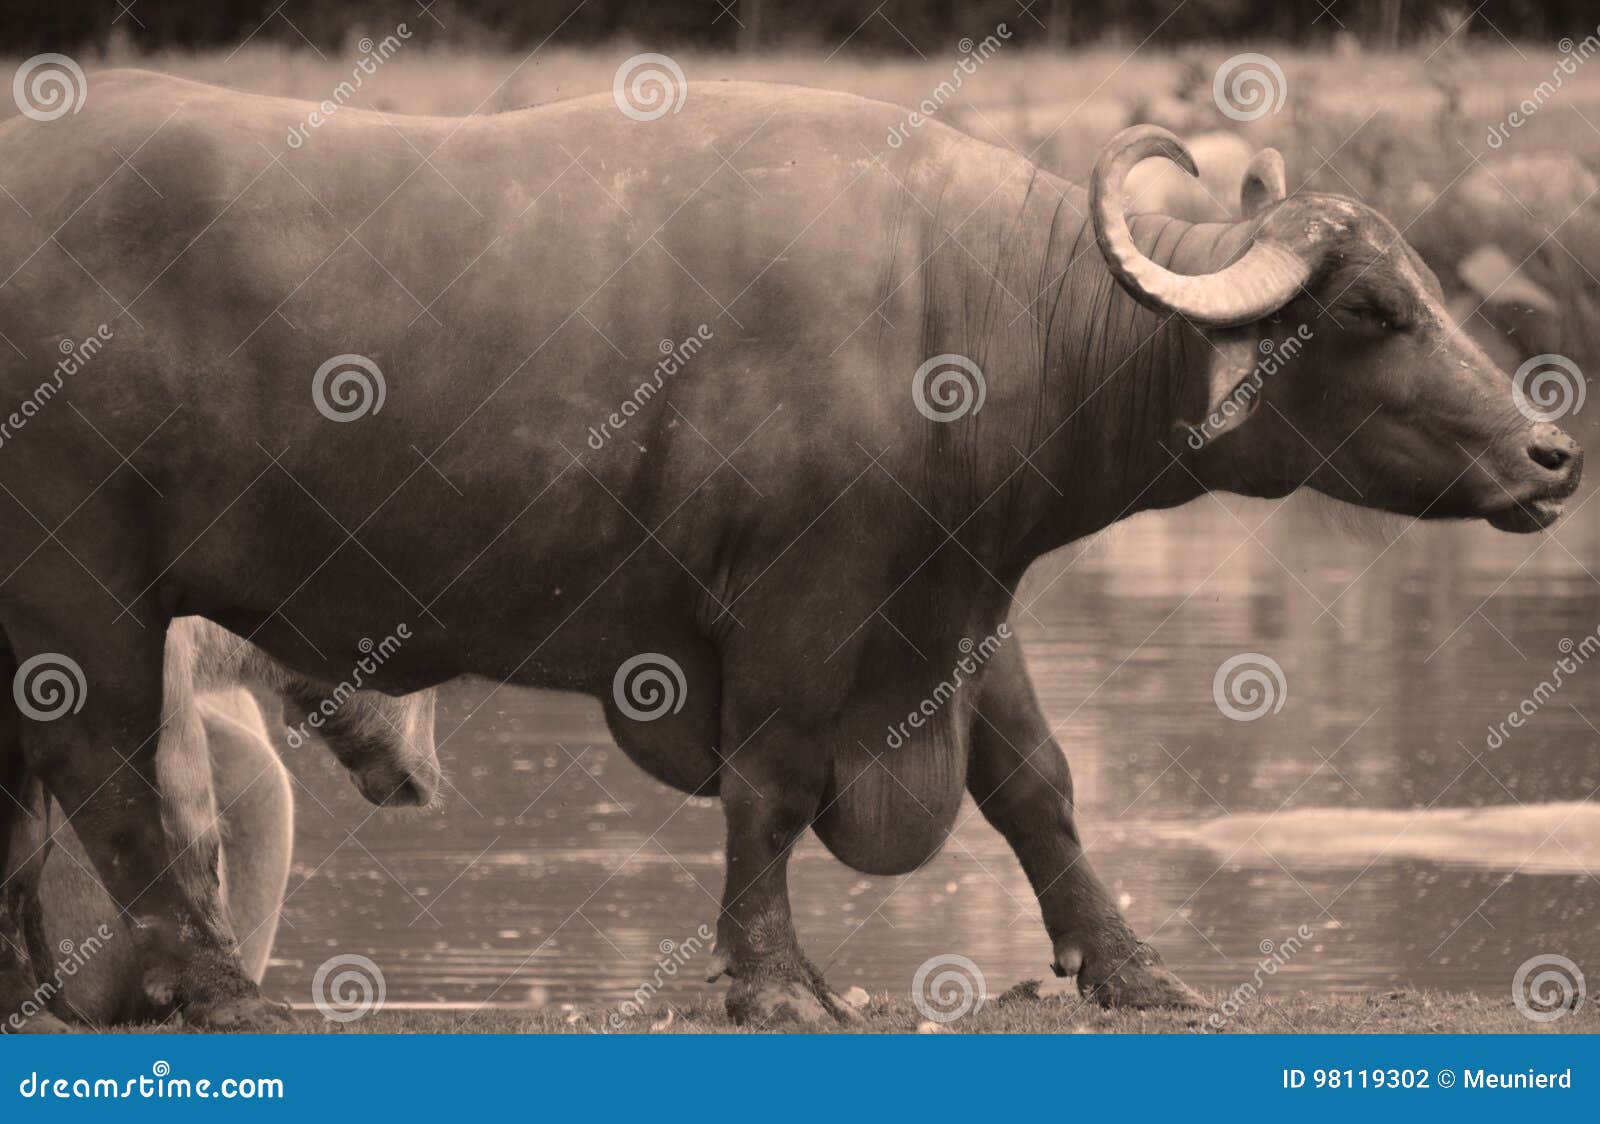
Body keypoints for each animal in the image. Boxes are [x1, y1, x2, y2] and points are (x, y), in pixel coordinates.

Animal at [0, 71, 1580, 1028]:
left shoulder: (954, 592)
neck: (966, 313)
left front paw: (1133, 967)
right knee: (112, 777)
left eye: (1428, 281)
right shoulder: (798, 600)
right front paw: (774, 980)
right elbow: (766, 786)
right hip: (80, 581)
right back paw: (216, 984)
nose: (1552, 454)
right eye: (1370, 307)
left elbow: (1037, 785)